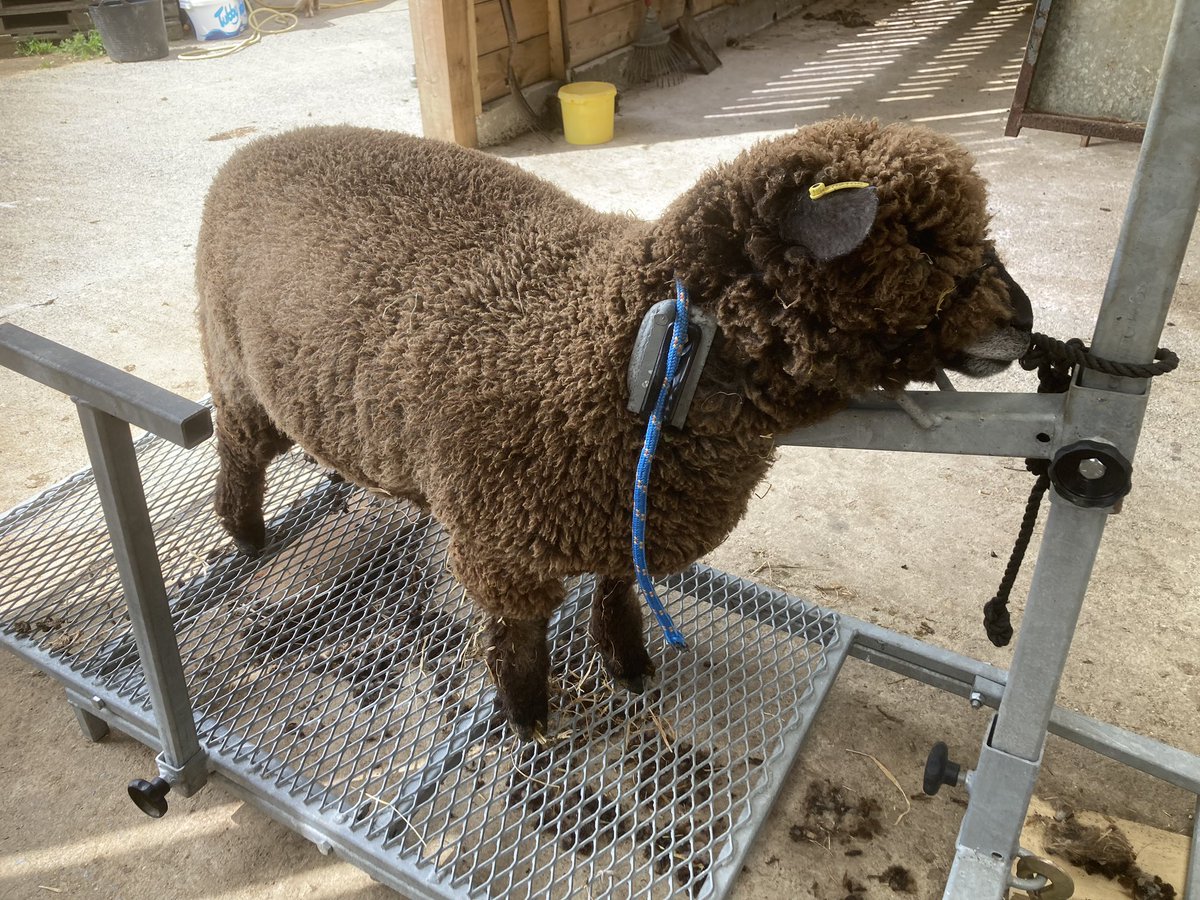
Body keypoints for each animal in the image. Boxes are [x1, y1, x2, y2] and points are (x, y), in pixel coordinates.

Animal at [196, 118, 1032, 738]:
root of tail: (254, 145)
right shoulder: (500, 546)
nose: (1025, 320)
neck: (622, 342)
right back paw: (244, 535)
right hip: (233, 371)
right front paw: (528, 716)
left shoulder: (625, 517)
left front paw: (630, 665)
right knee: (238, 454)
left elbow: (620, 591)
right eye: (920, 242)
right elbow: (520, 639)